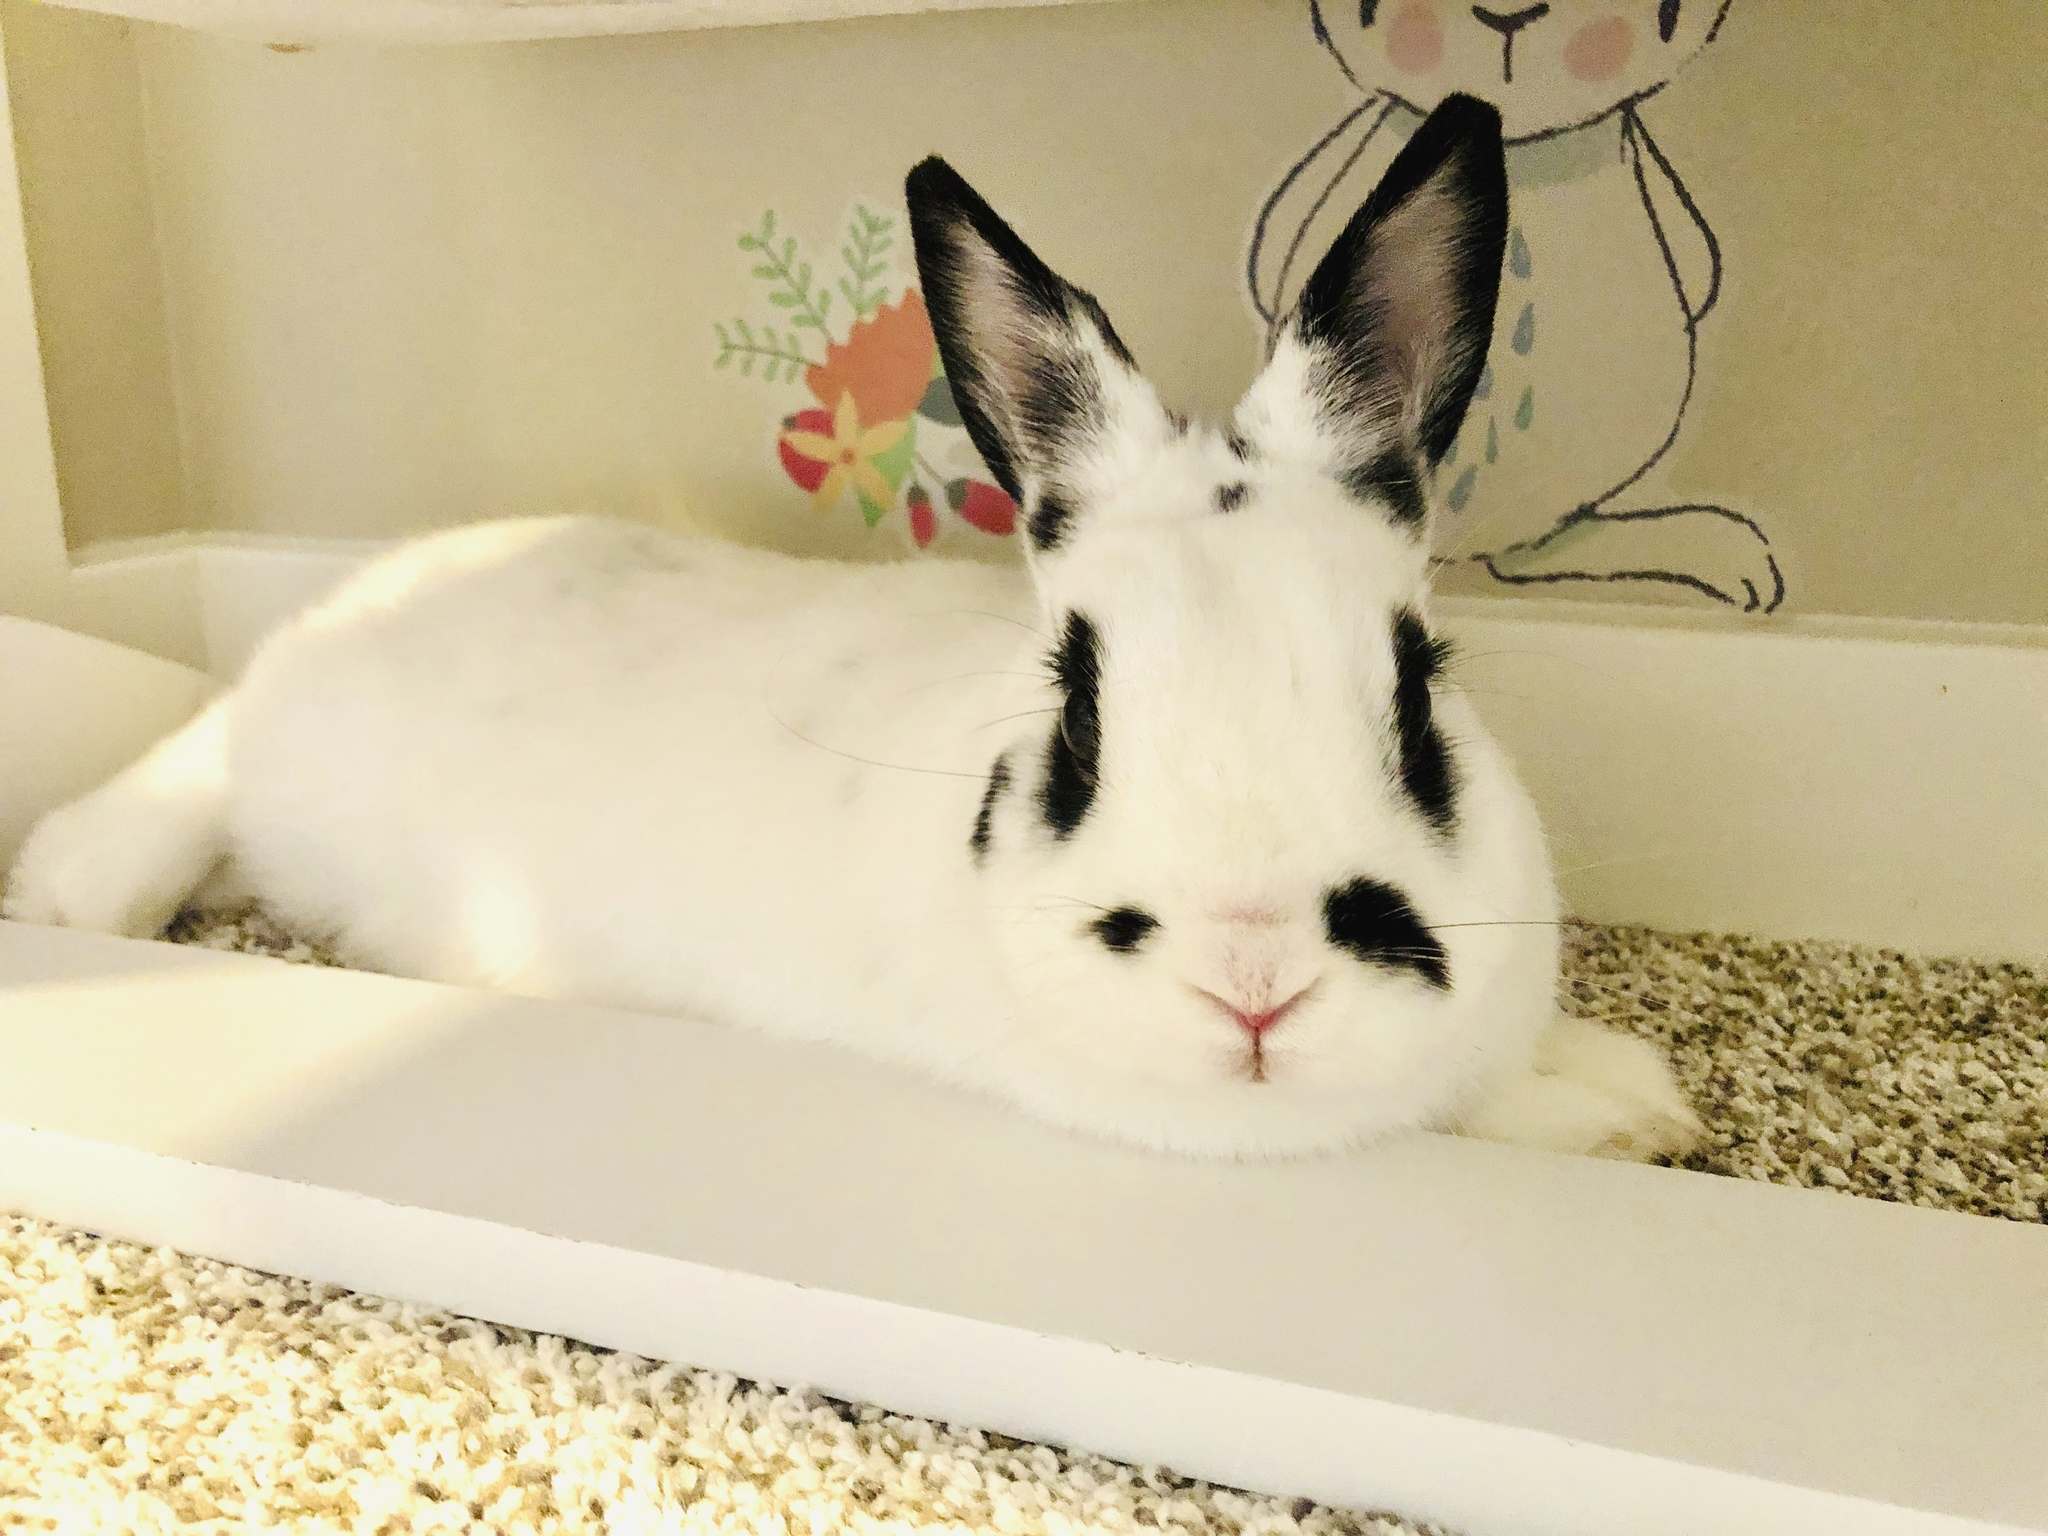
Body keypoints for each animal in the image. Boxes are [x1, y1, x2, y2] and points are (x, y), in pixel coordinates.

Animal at [5, 96, 1699, 1163]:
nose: (1255, 981)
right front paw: (1620, 1115)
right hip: (270, 754)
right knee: (197, 762)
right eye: (1076, 720)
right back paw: (72, 893)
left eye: (1418, 699)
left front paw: (1639, 1097)